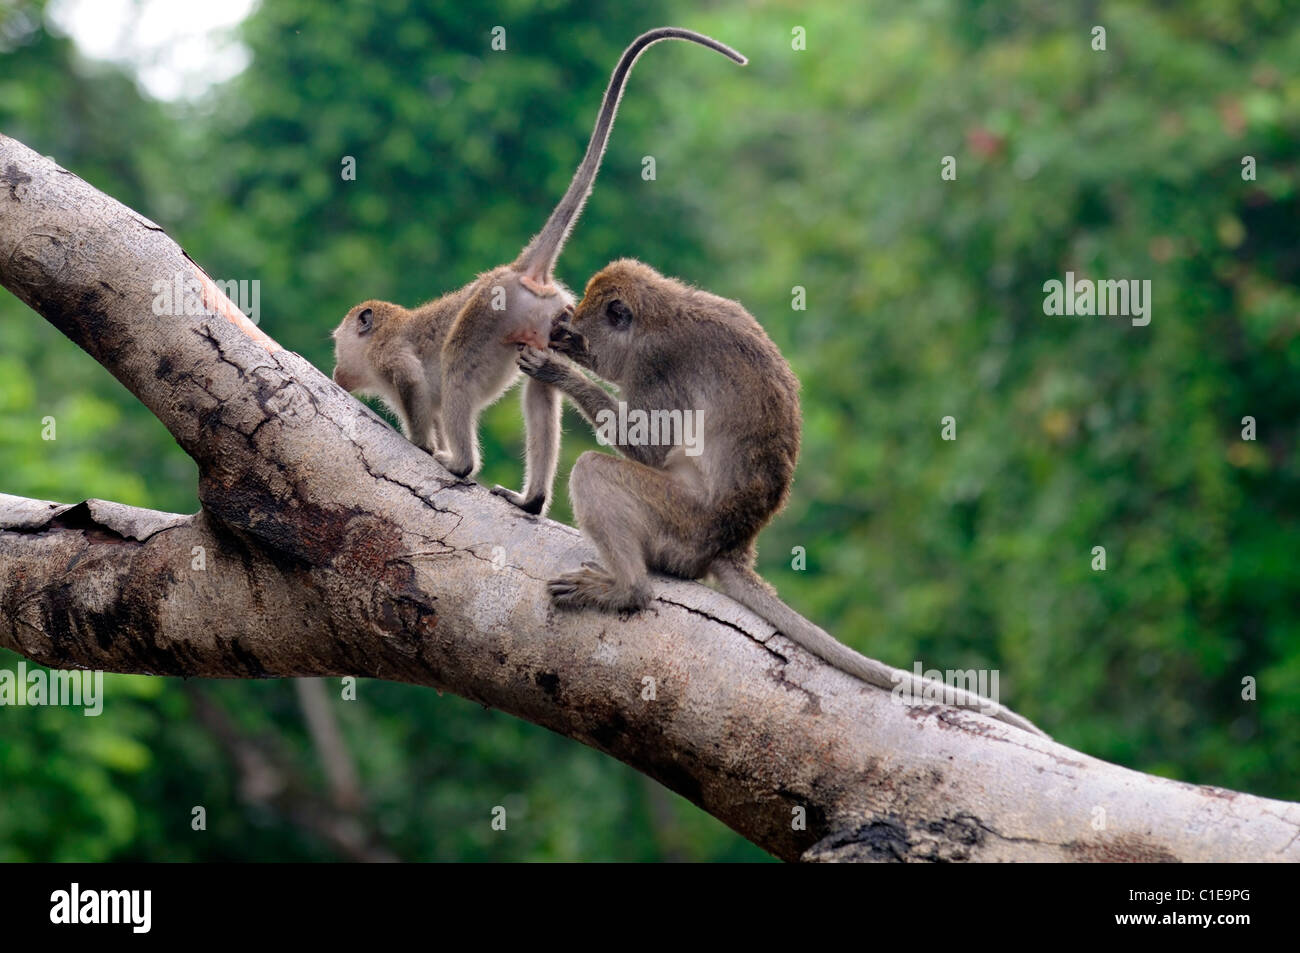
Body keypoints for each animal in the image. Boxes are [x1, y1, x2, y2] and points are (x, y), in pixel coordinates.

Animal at [331, 28, 747, 515]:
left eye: (338, 345)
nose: (336, 371)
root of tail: (518, 270)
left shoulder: (389, 358)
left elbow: (415, 382)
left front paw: (424, 444)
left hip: (489, 308)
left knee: (456, 363)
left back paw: (462, 464)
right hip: (545, 318)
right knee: (539, 388)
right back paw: (532, 499)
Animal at [516, 259, 1048, 737]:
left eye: (578, 336)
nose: (564, 338)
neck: (659, 317)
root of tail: (730, 543)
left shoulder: (655, 368)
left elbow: (649, 445)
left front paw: (557, 372)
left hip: (682, 524)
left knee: (595, 472)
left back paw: (628, 589)